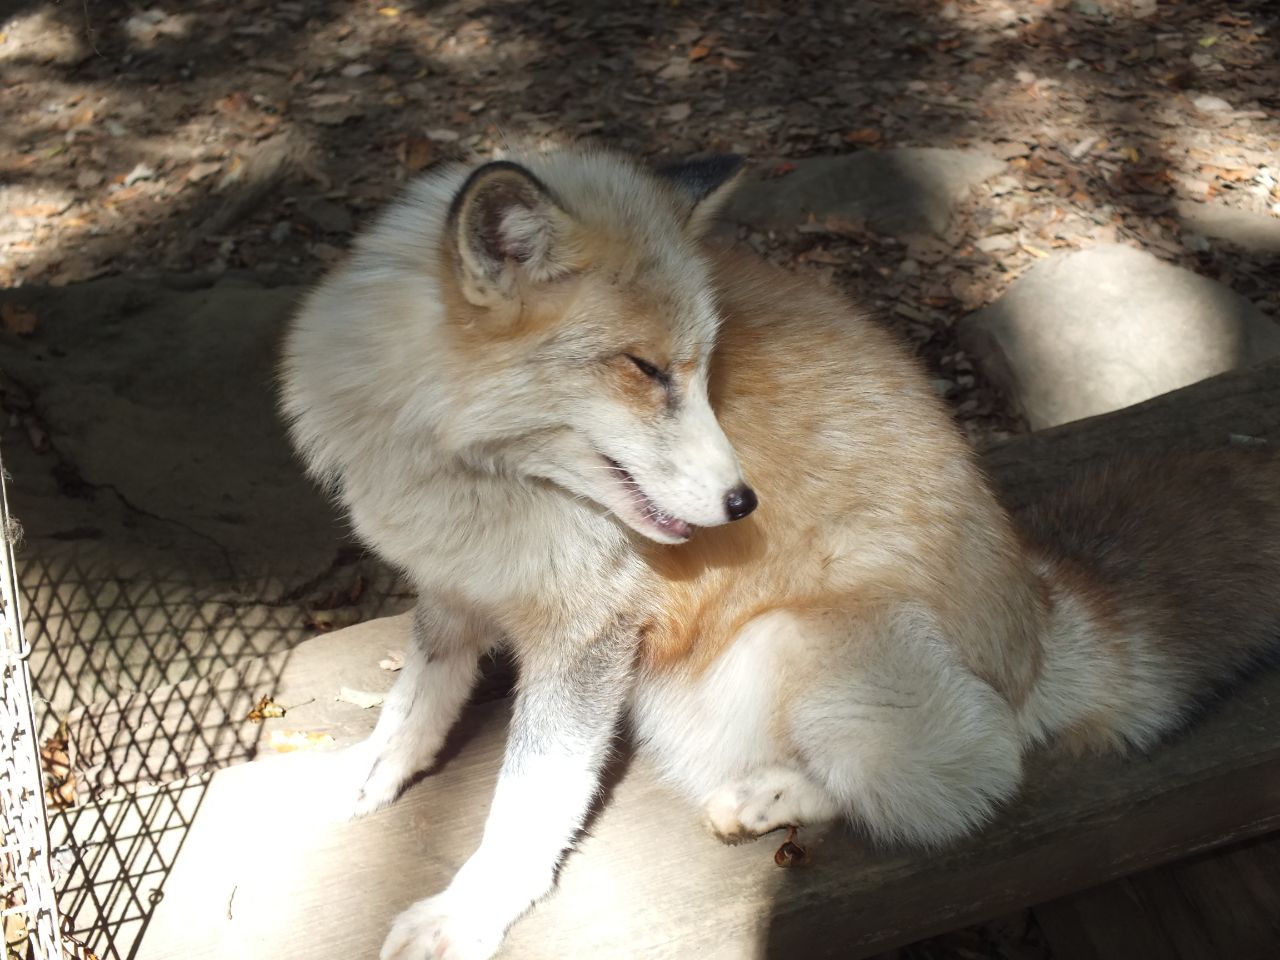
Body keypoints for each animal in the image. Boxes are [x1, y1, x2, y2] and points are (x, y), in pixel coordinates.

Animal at [278, 146, 1280, 960]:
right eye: (647, 370)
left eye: (705, 370)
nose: (741, 503)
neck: (468, 478)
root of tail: (1039, 621)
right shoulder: (452, 585)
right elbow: (416, 701)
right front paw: (374, 770)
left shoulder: (589, 636)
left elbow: (529, 800)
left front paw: (470, 911)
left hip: (791, 652)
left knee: (979, 773)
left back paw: (771, 797)